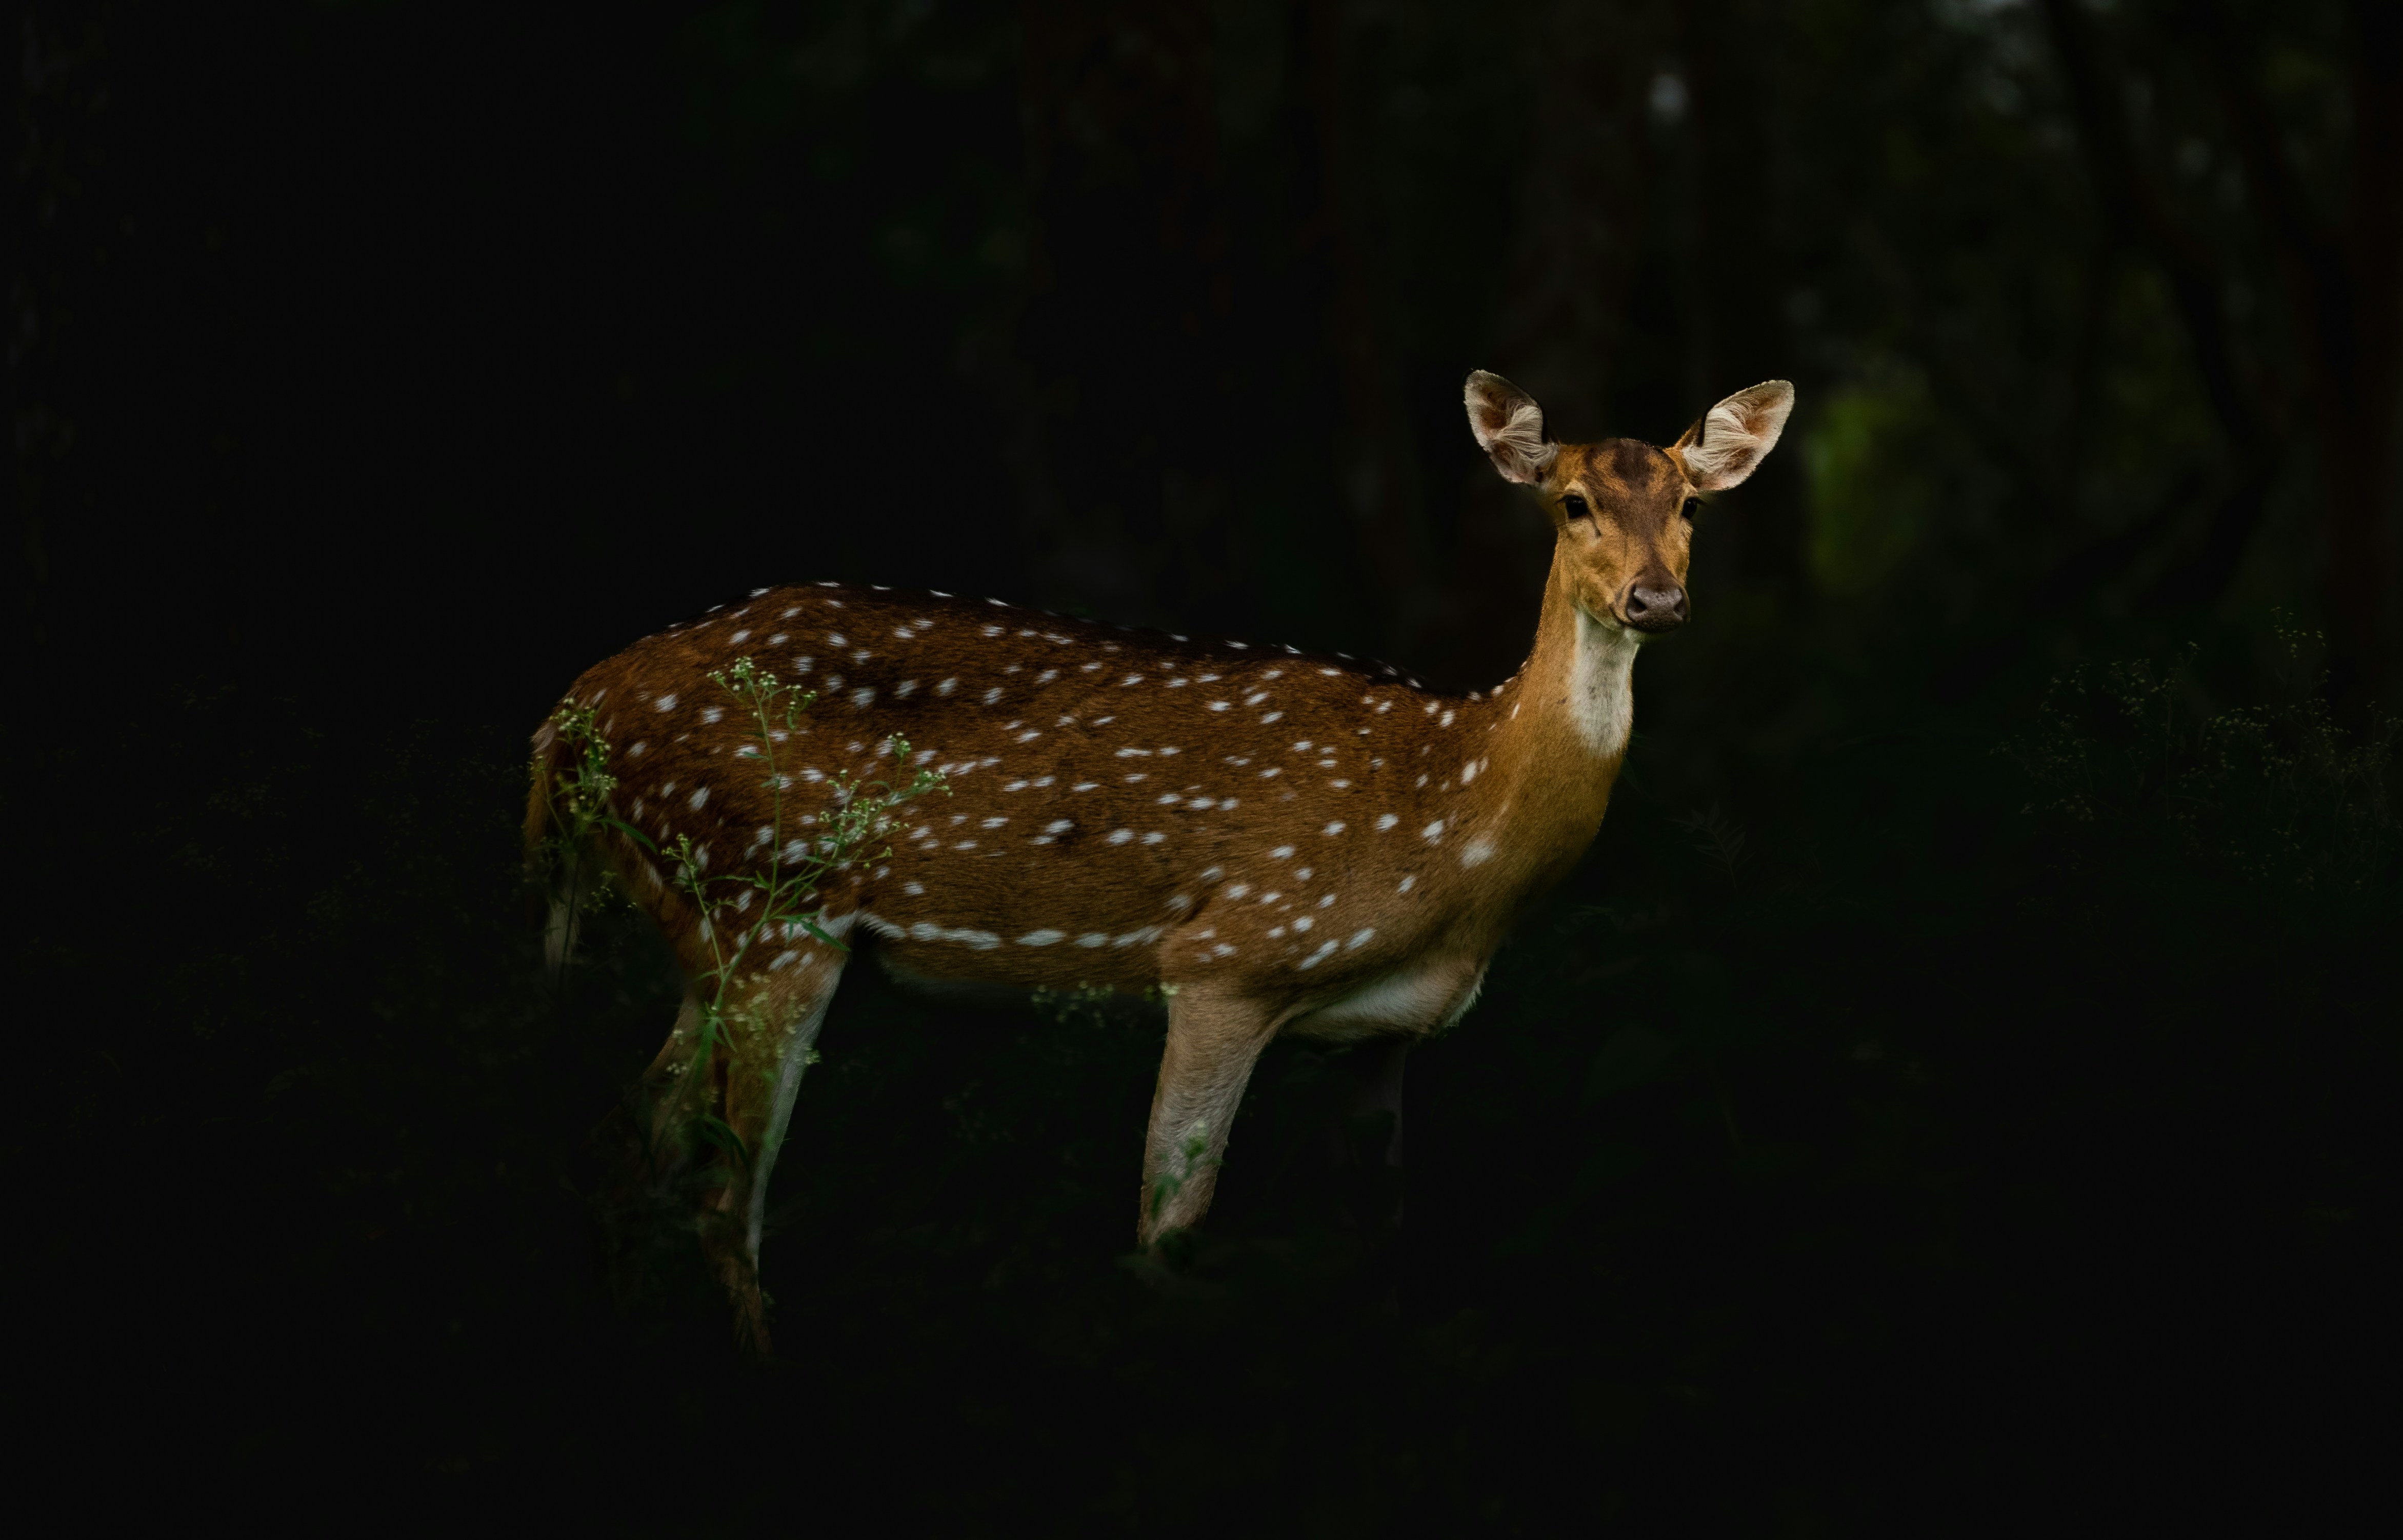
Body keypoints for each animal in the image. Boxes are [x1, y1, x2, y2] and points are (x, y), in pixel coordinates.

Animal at [527, 371, 1794, 1352]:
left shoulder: (1381, 1033)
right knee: (723, 1191)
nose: (1656, 597)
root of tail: (567, 723)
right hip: (769, 903)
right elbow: (1166, 1235)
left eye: (1691, 502)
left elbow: (1376, 1245)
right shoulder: (1231, 957)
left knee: (629, 1136)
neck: (1451, 820)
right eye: (1573, 501)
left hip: (704, 922)